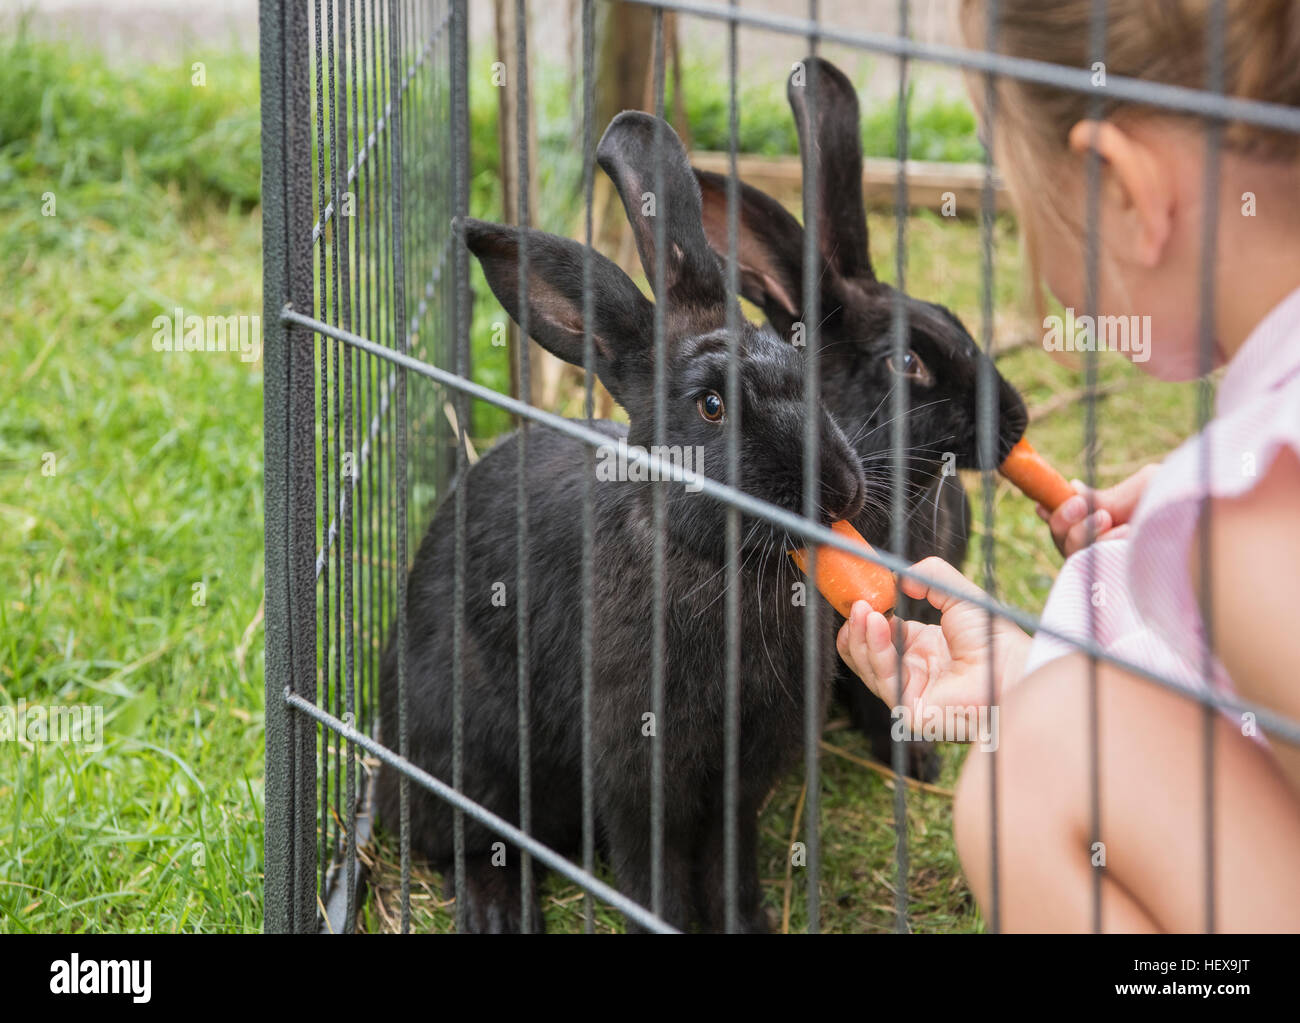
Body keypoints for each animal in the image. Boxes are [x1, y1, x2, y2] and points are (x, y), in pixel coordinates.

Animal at [375, 110, 872, 933]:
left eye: (805, 376)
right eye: (711, 406)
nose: (837, 490)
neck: (716, 563)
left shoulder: (741, 781)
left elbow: (730, 859)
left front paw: (746, 924)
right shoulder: (636, 766)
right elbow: (651, 865)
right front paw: (662, 920)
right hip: (469, 748)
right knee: (459, 840)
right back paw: (497, 908)